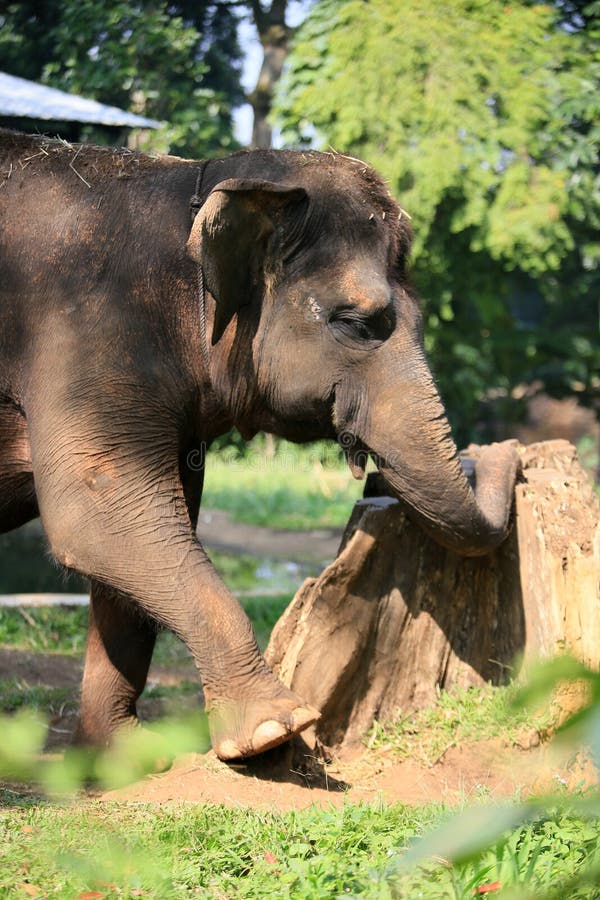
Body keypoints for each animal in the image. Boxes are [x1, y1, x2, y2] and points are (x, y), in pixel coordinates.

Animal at [0, 130, 520, 760]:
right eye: (356, 323)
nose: (494, 453)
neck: (197, 184)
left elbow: (147, 533)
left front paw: (122, 754)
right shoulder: (86, 334)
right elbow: (97, 514)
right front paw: (274, 731)